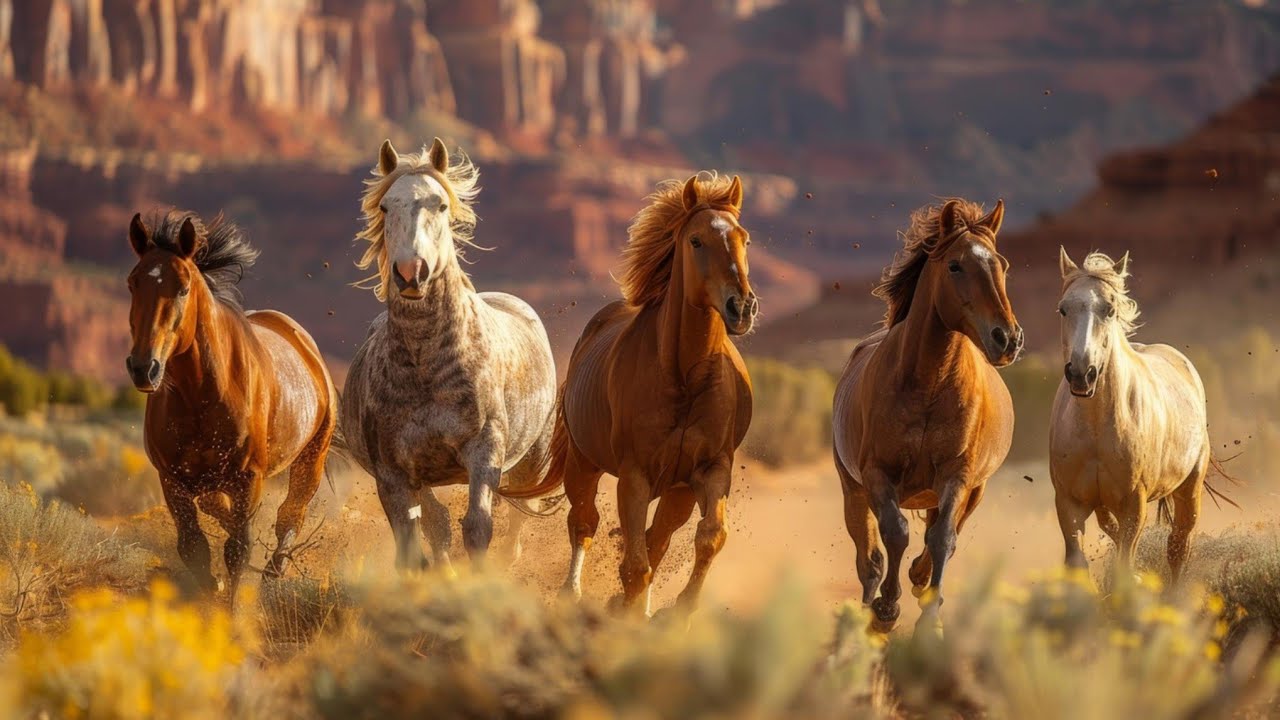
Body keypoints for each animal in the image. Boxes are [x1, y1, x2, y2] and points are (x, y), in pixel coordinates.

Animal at [126, 210, 337, 607]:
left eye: (183, 287)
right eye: (133, 283)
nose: (144, 368)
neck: (202, 395)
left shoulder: (247, 480)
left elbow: (237, 549)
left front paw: (231, 608)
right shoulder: (172, 480)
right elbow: (193, 547)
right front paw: (213, 590)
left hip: (311, 458)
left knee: (291, 514)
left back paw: (274, 572)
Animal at [339, 138, 558, 572]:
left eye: (439, 204)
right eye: (385, 206)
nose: (411, 273)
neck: (427, 366)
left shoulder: (483, 453)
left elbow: (477, 528)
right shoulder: (392, 474)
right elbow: (414, 543)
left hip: (531, 464)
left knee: (519, 519)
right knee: (437, 524)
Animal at [517, 172, 757, 616]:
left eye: (744, 239)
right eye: (696, 240)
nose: (741, 308)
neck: (685, 378)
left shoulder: (709, 471)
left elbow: (708, 536)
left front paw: (677, 612)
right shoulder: (634, 476)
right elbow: (634, 565)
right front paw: (628, 609)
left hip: (676, 492)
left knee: (656, 539)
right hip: (583, 464)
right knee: (584, 523)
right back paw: (572, 593)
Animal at [832, 199, 1021, 633]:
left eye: (1002, 264)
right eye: (955, 266)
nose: (1008, 339)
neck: (930, 385)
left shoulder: (957, 475)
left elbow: (942, 539)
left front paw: (930, 616)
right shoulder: (876, 475)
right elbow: (895, 535)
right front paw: (886, 609)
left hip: (972, 491)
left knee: (938, 536)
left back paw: (919, 581)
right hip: (853, 491)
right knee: (869, 560)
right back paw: (864, 615)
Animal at [1049, 249, 1230, 583]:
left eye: (1109, 309)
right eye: (1063, 309)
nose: (1081, 374)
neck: (1096, 427)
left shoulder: (1133, 503)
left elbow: (1125, 562)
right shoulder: (1069, 504)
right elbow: (1079, 564)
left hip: (1189, 491)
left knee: (1178, 546)